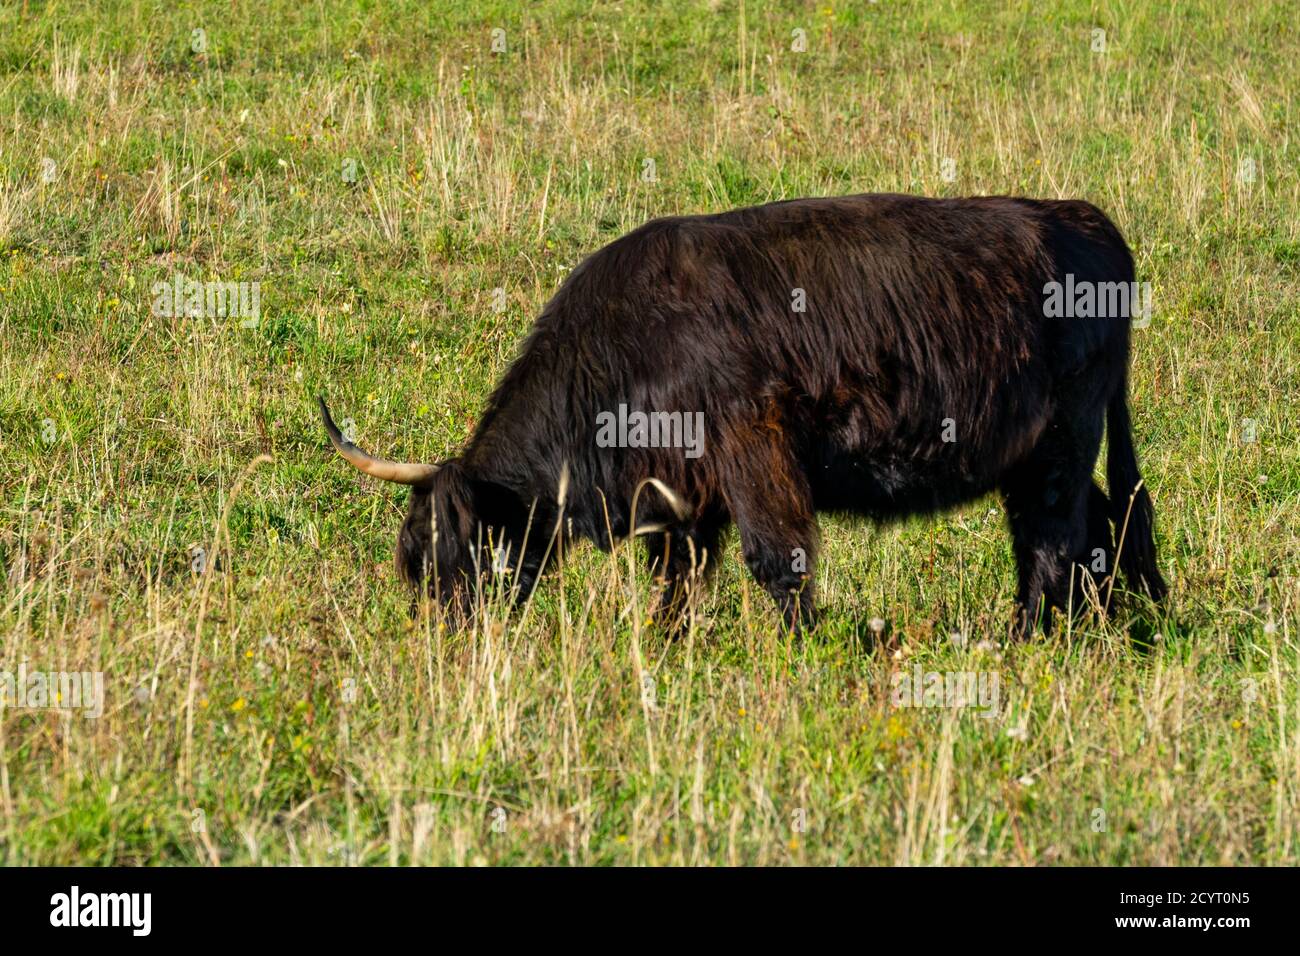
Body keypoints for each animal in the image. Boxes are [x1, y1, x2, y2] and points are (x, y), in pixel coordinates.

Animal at [320, 193, 1167, 637]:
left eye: (448, 551)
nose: (447, 641)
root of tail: (1086, 220)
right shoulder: (681, 497)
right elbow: (679, 576)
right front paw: (667, 646)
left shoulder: (752, 449)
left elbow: (776, 559)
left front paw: (806, 648)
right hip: (1041, 452)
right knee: (1101, 522)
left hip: (1062, 442)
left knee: (1056, 538)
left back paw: (1024, 638)